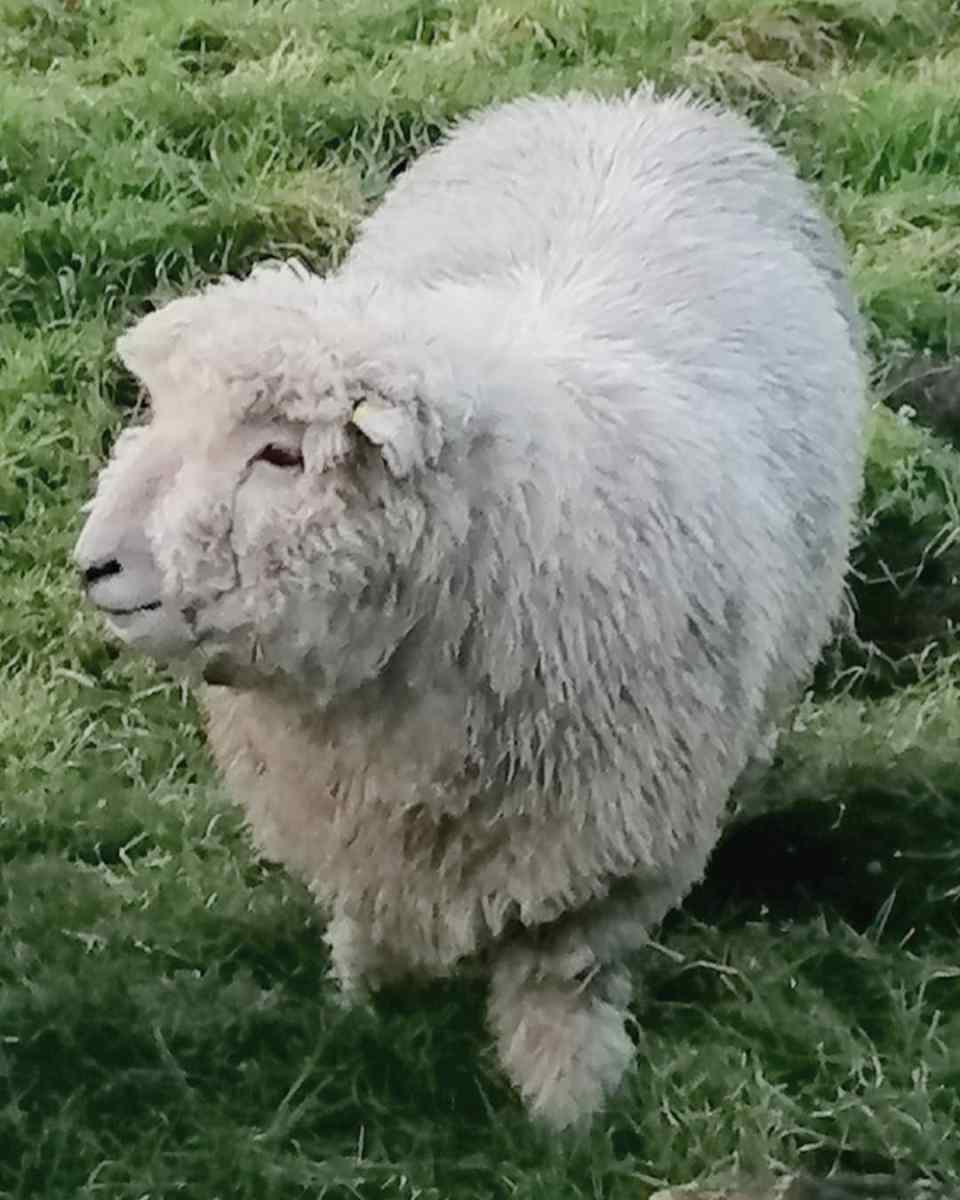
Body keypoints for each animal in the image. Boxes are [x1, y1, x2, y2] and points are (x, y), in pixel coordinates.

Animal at [74, 88, 868, 1130]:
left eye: (281, 453)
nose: (95, 565)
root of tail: (629, 101)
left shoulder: (602, 846)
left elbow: (560, 979)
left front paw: (569, 1108)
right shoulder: (353, 816)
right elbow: (371, 914)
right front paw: (366, 1002)